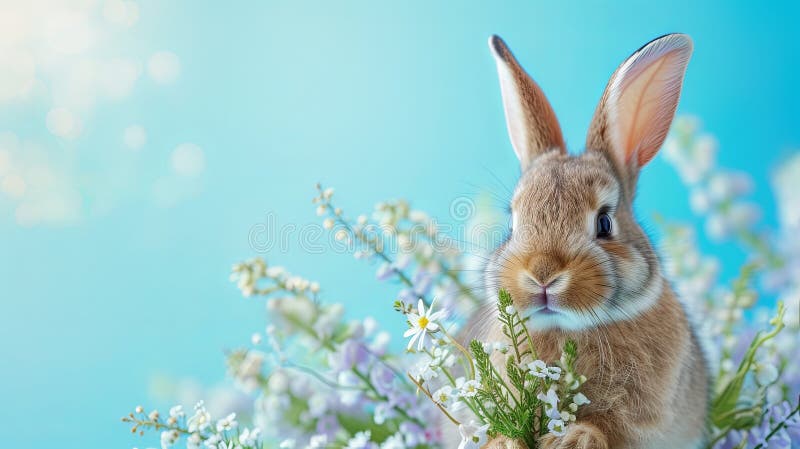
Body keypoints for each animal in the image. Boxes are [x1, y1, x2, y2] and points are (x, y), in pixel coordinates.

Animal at [454, 34, 710, 449]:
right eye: (513, 222)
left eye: (604, 222)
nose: (542, 274)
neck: (568, 328)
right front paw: (505, 441)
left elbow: (605, 427)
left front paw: (573, 439)